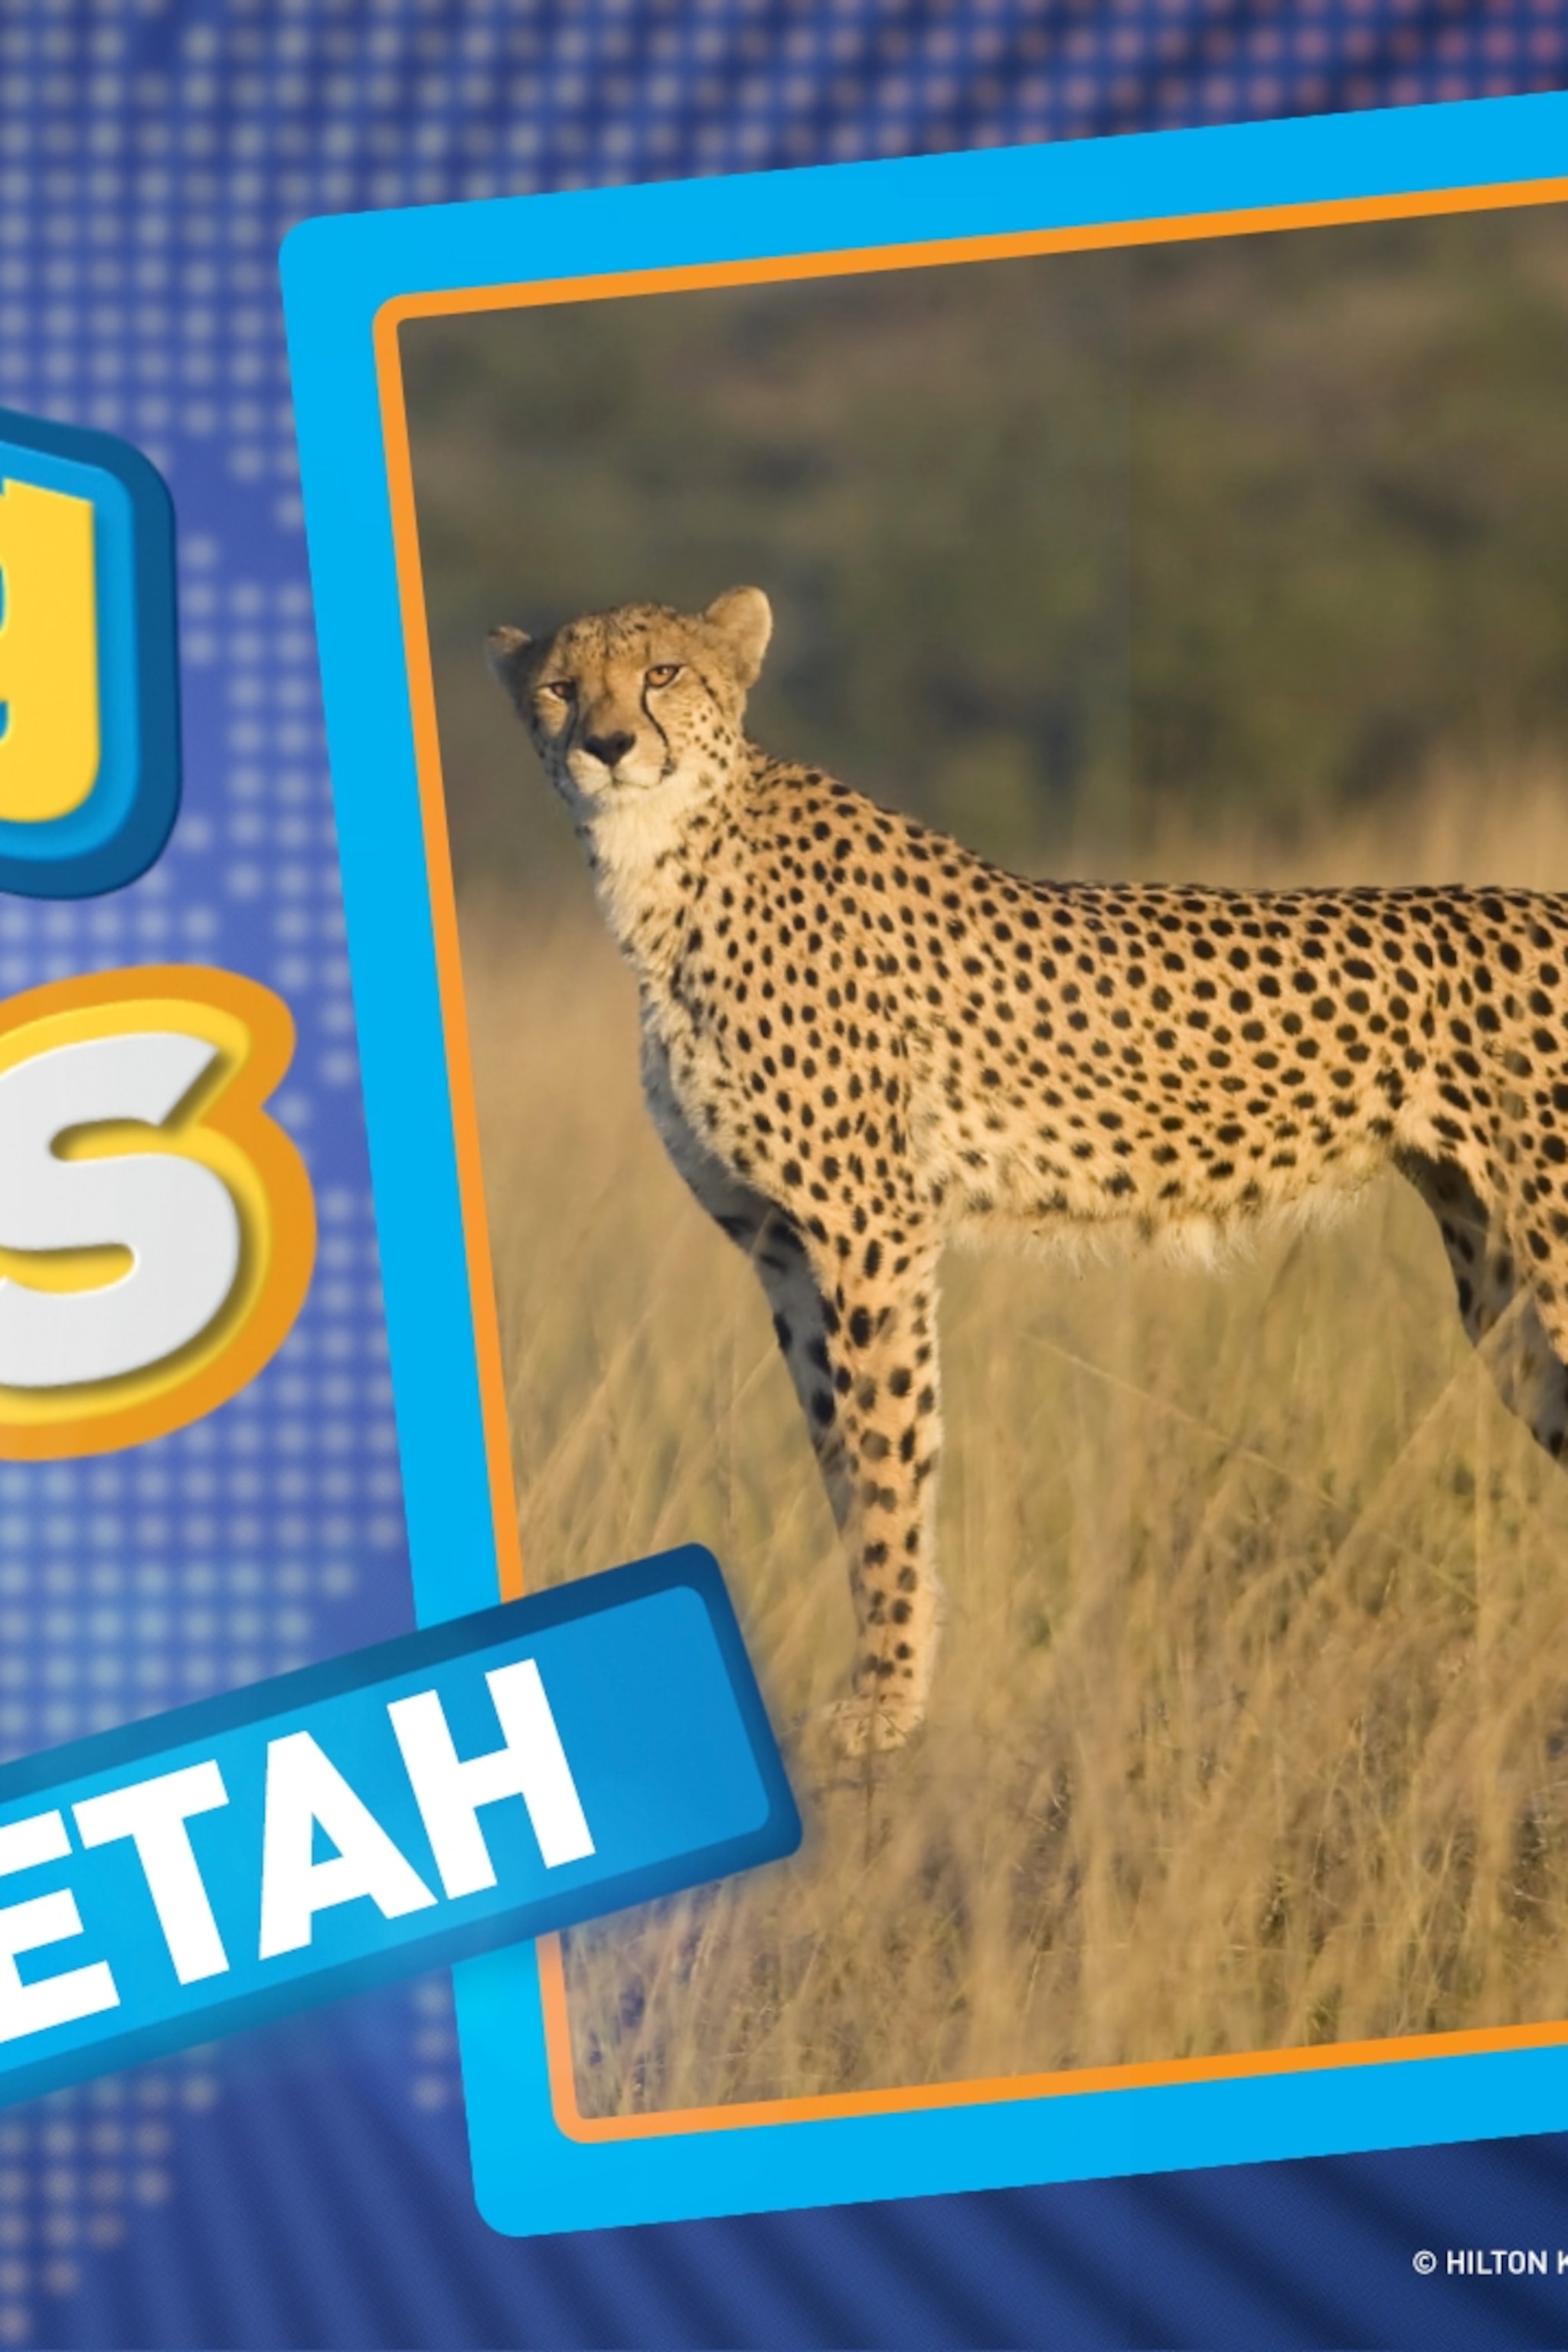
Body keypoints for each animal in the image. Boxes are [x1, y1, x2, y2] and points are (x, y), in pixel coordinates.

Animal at [489, 586, 1568, 1752]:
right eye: (561, 685)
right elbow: (844, 1467)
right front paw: (886, 1684)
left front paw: (886, 1704)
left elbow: (887, 1462)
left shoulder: (871, 1231)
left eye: (665, 673)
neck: (667, 866)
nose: (607, 745)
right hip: (1500, 1292)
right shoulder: (781, 1248)